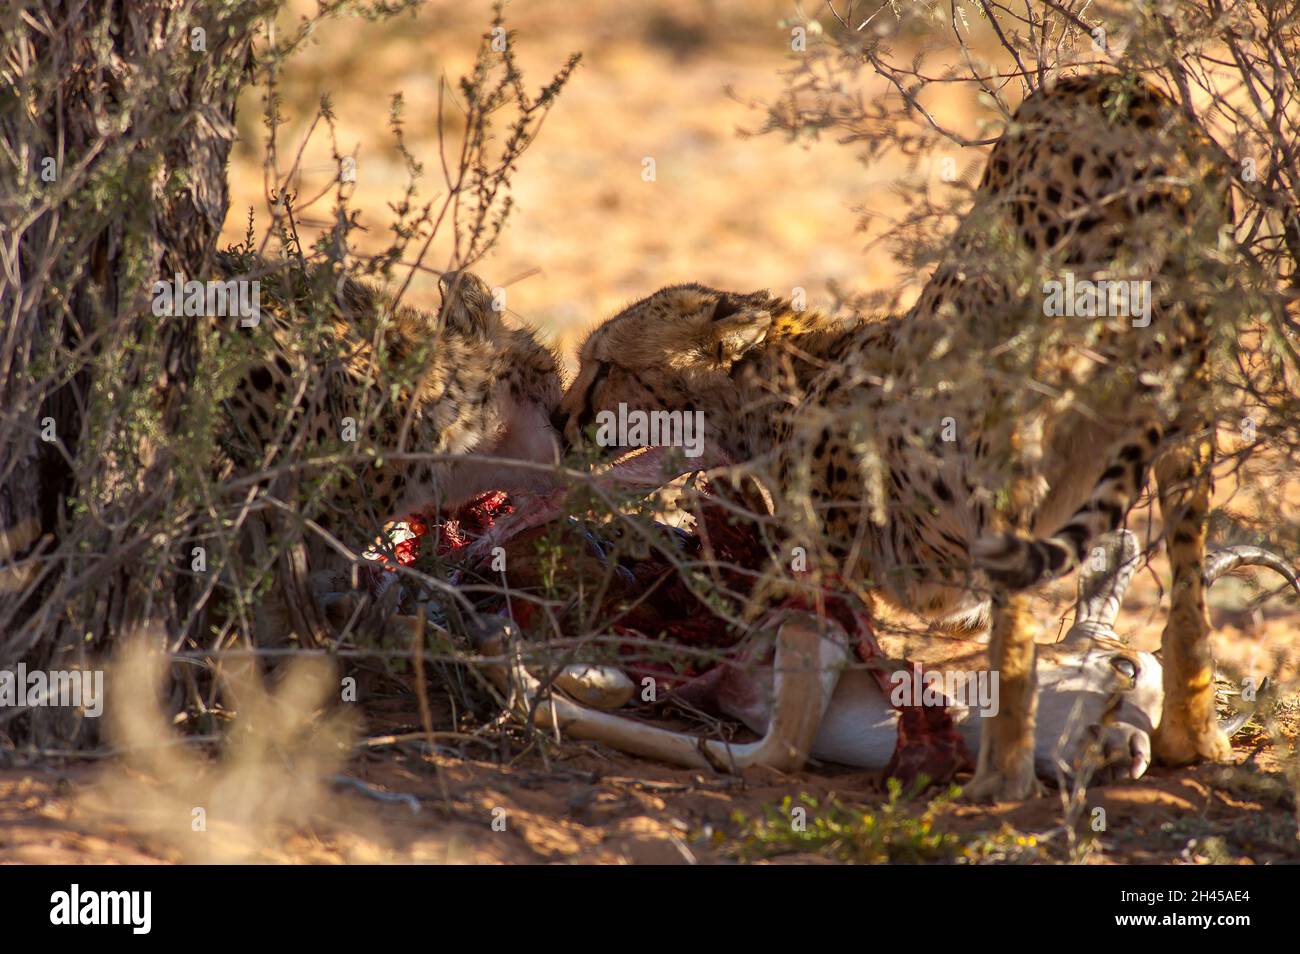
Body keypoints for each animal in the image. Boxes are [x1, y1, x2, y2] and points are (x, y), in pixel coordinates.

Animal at [553, 73, 1248, 799]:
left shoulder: (821, 563)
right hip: (1186, 404)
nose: (558, 420)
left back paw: (1002, 775)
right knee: (1189, 600)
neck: (778, 385)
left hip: (1009, 394)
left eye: (603, 368)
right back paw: (1191, 738)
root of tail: (1132, 90)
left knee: (1022, 613)